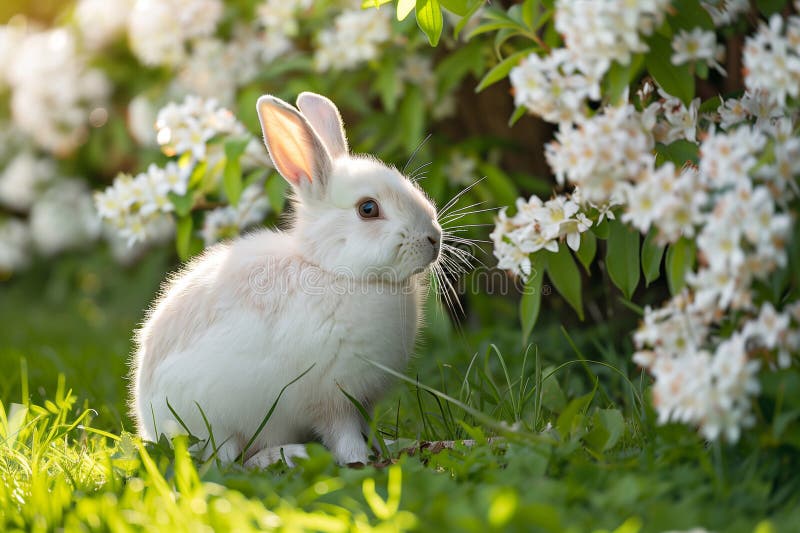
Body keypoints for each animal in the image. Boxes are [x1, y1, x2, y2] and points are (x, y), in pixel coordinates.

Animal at [131, 92, 442, 468]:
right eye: (368, 209)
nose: (434, 238)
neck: (332, 271)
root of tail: (145, 418)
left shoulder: (364, 400)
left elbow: (368, 430)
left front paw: (389, 449)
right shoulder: (331, 398)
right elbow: (345, 435)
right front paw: (360, 462)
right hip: (216, 421)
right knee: (228, 461)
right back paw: (289, 455)